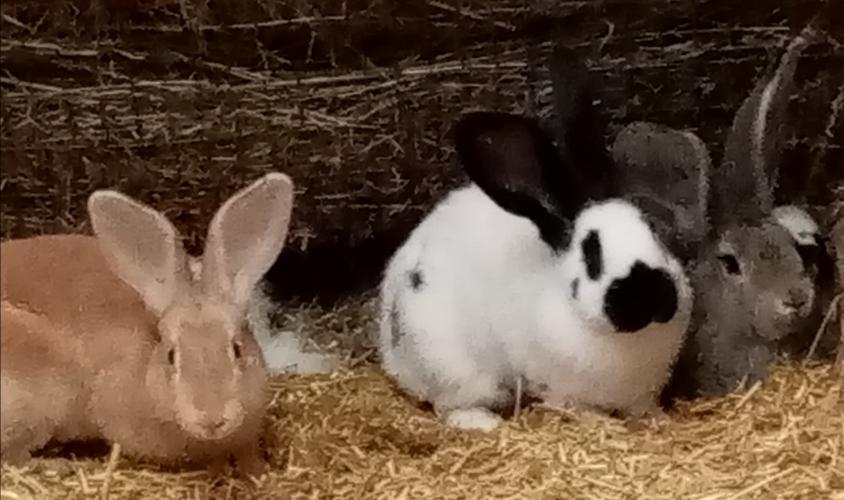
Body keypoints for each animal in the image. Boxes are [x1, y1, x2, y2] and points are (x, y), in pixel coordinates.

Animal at [377, 51, 693, 432]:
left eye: (652, 229)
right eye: (591, 254)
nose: (650, 293)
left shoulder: (641, 395)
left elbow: (644, 410)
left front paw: (660, 421)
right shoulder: (558, 388)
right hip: (455, 366)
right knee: (449, 406)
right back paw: (484, 423)